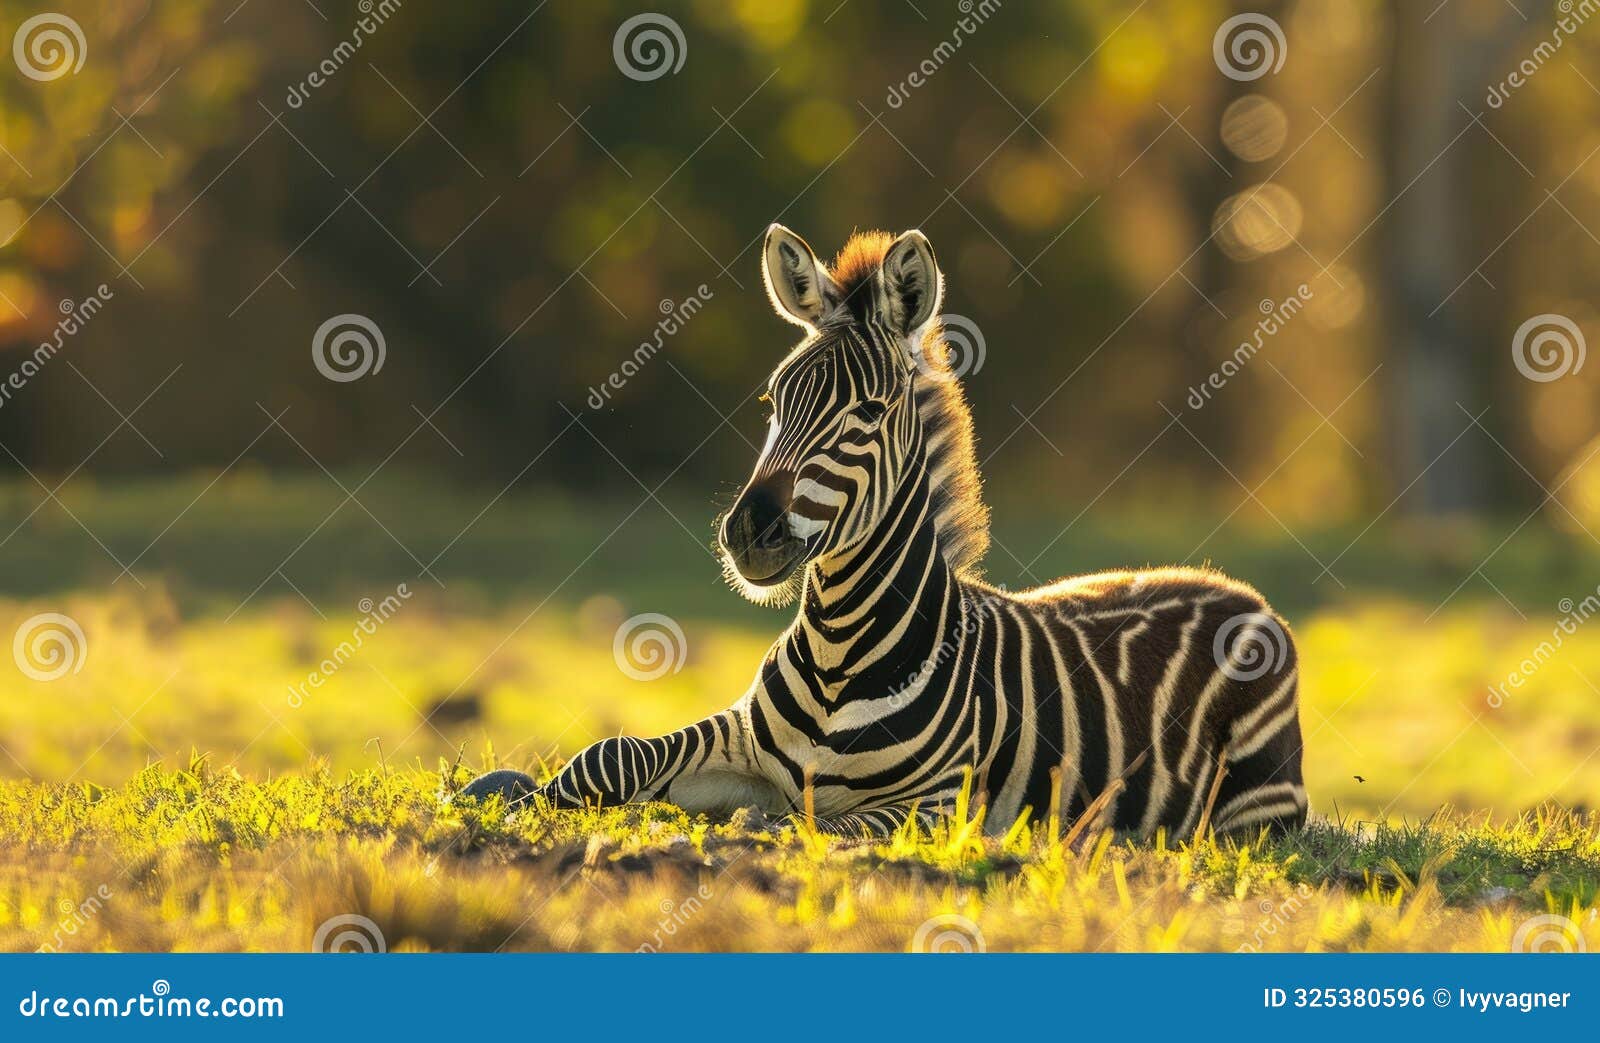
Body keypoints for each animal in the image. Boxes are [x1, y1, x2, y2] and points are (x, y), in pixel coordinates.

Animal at [462, 225, 1308, 838]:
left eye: (866, 412)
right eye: (772, 400)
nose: (749, 533)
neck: (840, 650)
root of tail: (1236, 591)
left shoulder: (935, 803)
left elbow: (813, 825)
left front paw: (751, 823)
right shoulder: (737, 739)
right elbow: (612, 754)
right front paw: (506, 791)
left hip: (1250, 808)